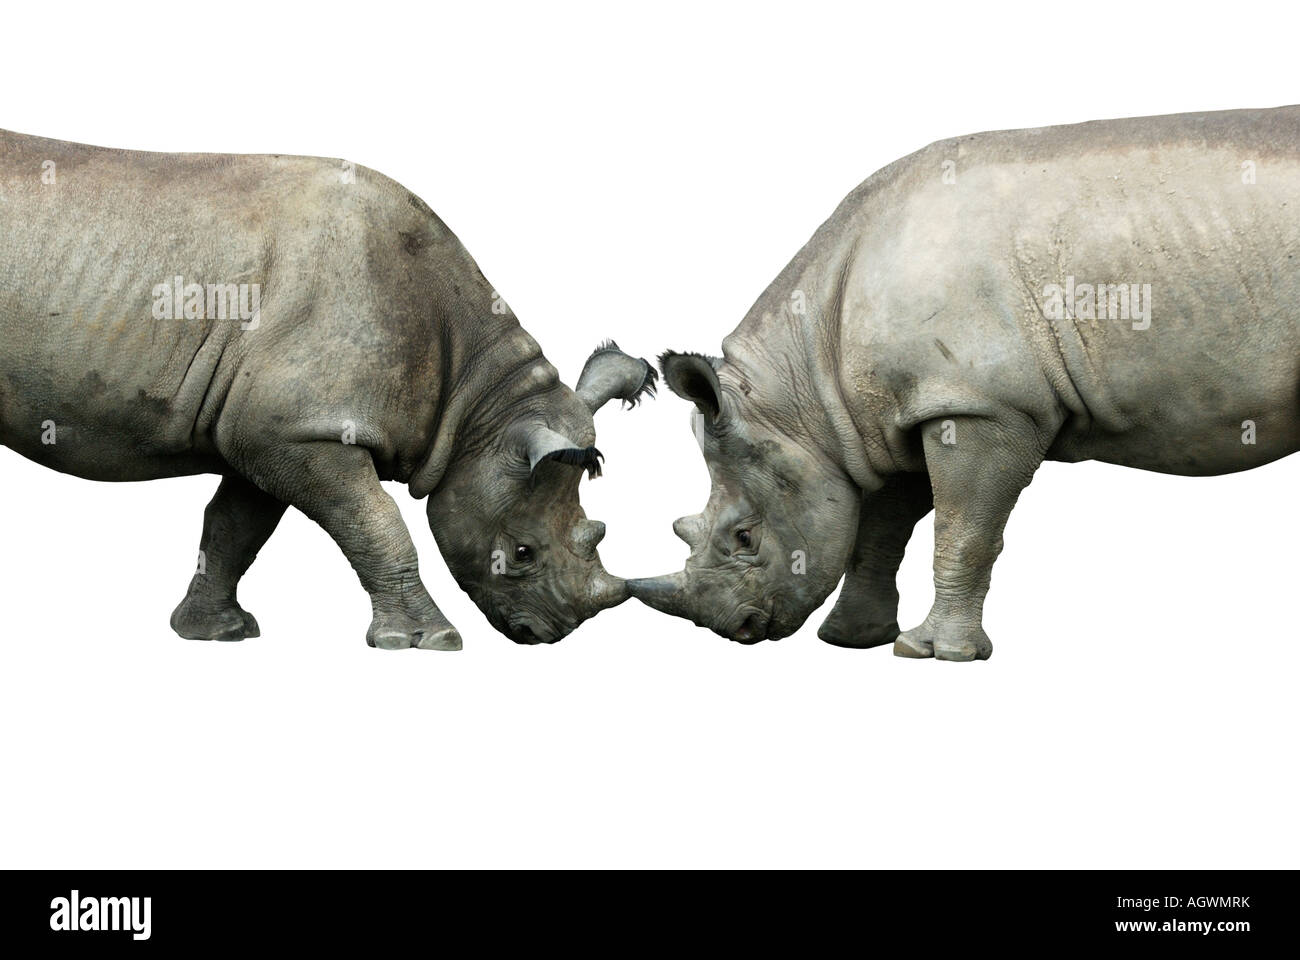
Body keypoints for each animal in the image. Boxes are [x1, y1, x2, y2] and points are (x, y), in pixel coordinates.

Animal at [0, 129, 656, 649]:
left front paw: (217, 633)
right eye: (521, 554)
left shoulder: (267, 431)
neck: (476, 406)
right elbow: (378, 523)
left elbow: (234, 528)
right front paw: (427, 641)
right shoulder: (302, 432)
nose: (550, 633)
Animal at [630, 106, 1300, 660]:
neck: (804, 389)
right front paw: (852, 641)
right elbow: (878, 531)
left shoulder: (981, 405)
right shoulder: (887, 417)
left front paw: (936, 653)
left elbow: (963, 530)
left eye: (743, 536)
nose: (733, 629)